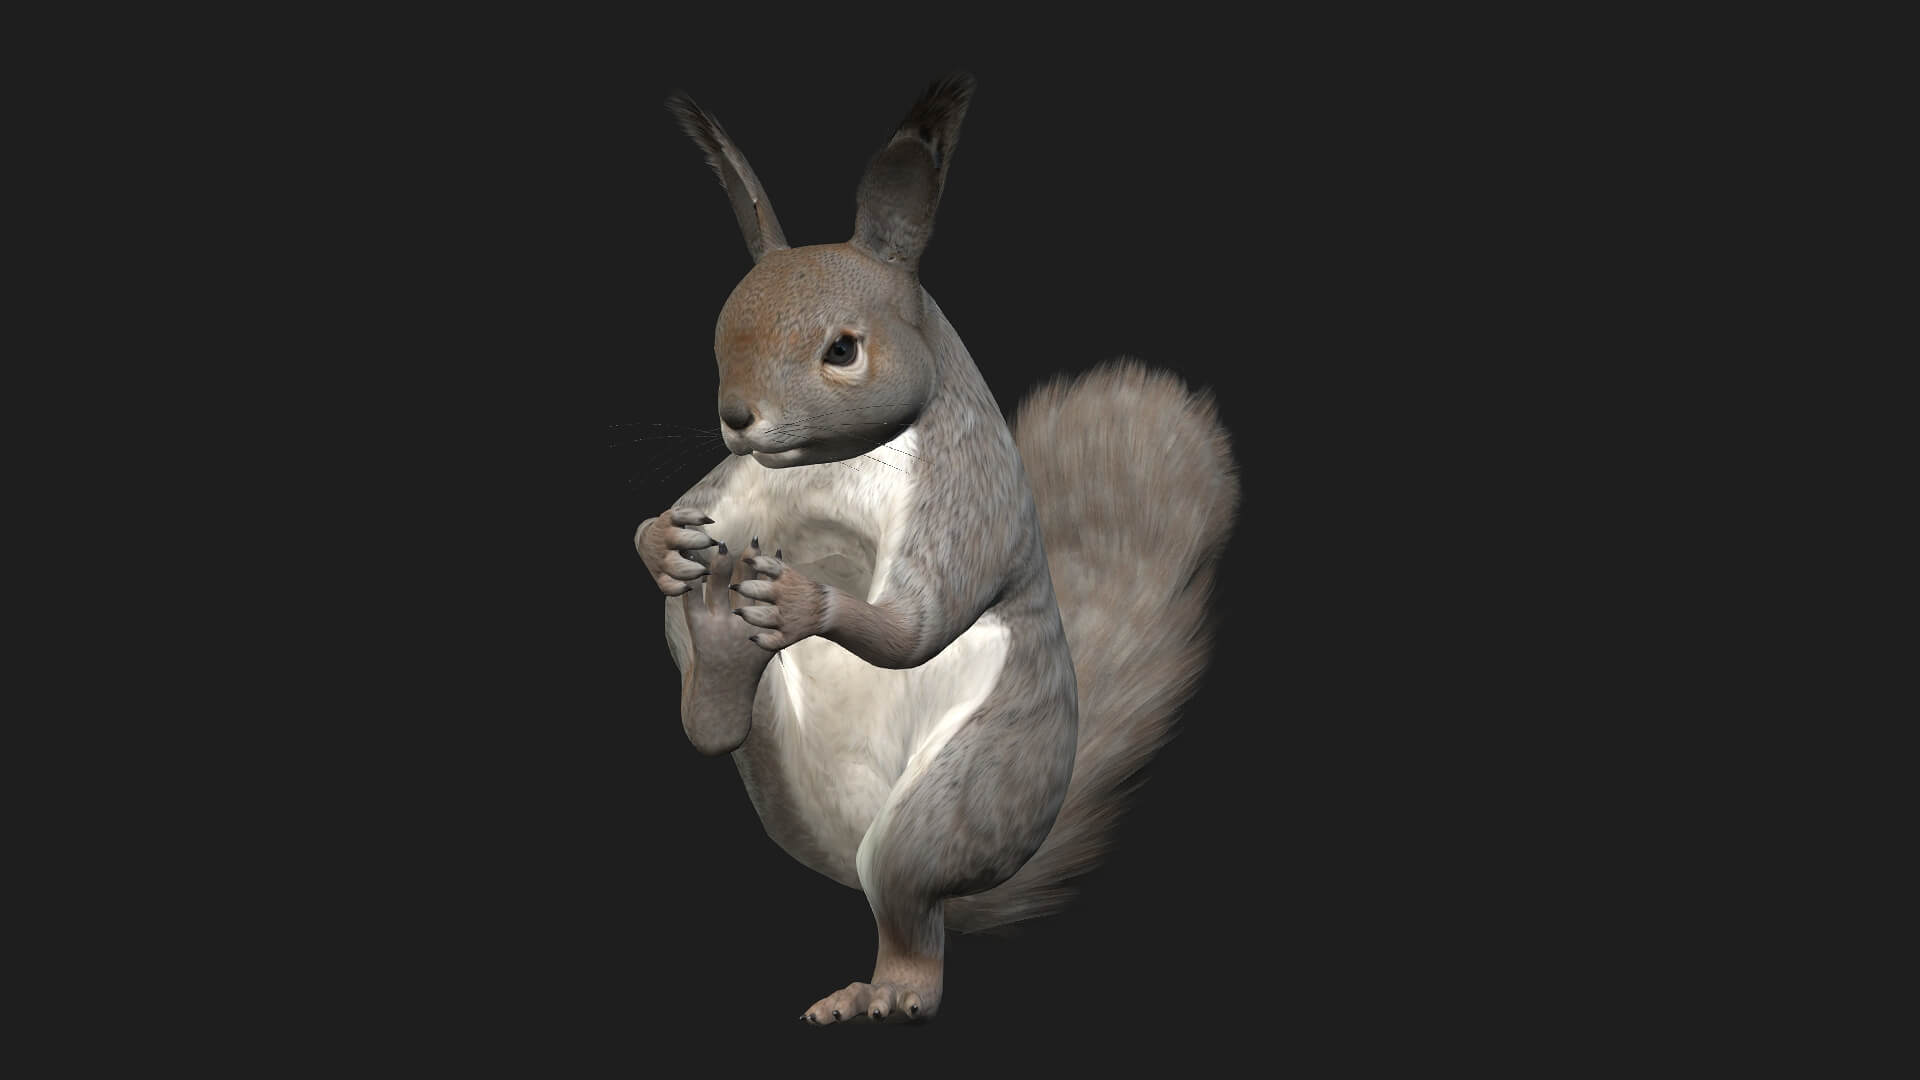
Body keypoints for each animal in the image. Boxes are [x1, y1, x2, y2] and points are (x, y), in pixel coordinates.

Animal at [635, 73, 1239, 1025]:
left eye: (844, 349)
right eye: (719, 333)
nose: (738, 417)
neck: (837, 461)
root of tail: (854, 847)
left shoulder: (967, 494)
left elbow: (915, 624)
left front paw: (806, 603)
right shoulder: (736, 486)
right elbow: (677, 518)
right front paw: (661, 542)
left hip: (972, 786)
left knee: (914, 914)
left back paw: (888, 992)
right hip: (772, 757)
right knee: (718, 728)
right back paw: (722, 649)